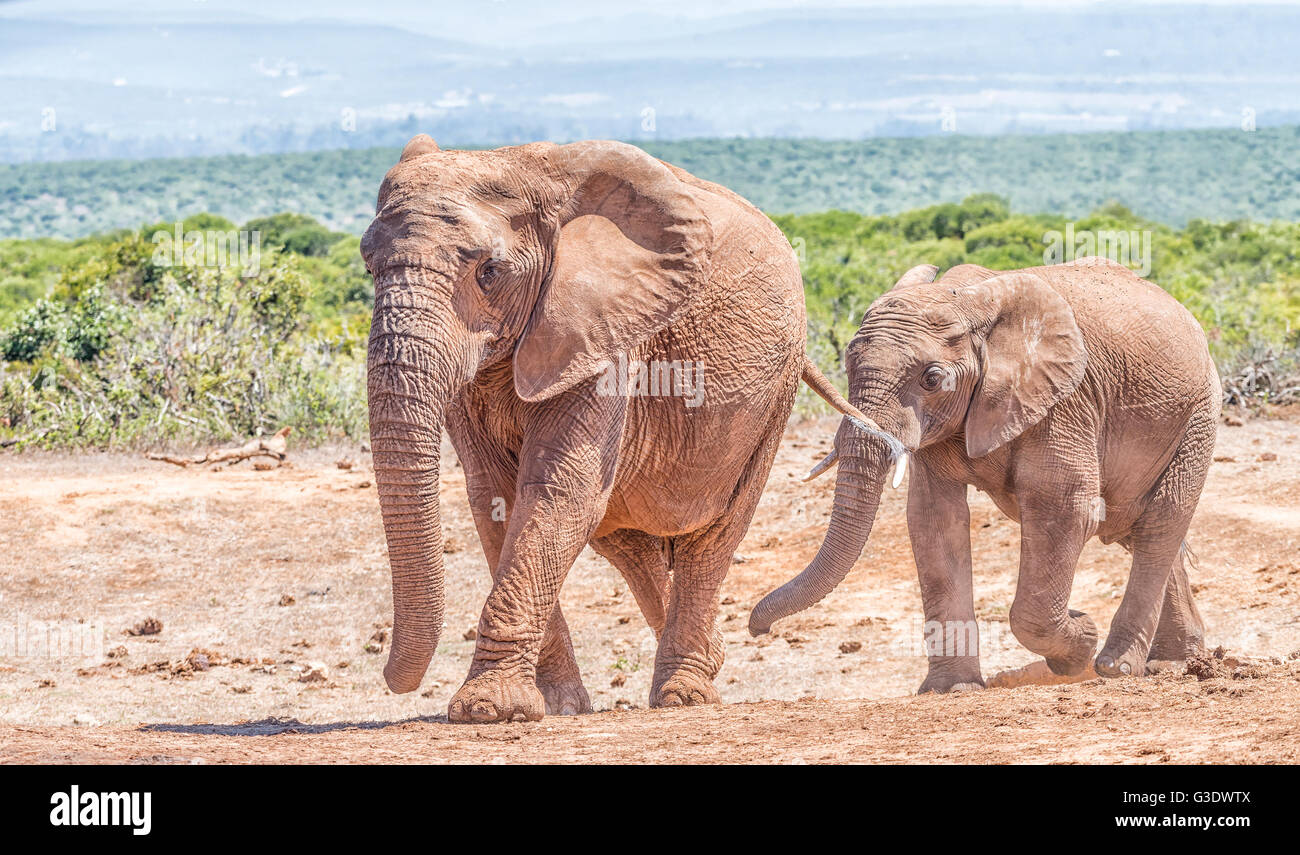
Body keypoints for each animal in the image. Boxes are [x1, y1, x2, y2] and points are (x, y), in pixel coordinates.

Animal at [360, 135, 862, 722]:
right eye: (369, 269)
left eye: (489, 272)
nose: (393, 679)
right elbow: (496, 499)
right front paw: (556, 708)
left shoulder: (605, 334)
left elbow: (557, 491)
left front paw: (490, 710)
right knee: (629, 545)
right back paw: (709, 656)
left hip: (773, 393)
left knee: (716, 533)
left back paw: (685, 694)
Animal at [749, 257, 1220, 692]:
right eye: (847, 363)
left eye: (932, 379)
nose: (758, 629)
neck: (965, 301)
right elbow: (935, 520)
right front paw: (950, 690)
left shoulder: (1065, 401)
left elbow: (1065, 510)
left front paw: (1079, 641)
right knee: (1137, 530)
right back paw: (1175, 663)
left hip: (1198, 414)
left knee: (1160, 524)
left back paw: (1117, 667)